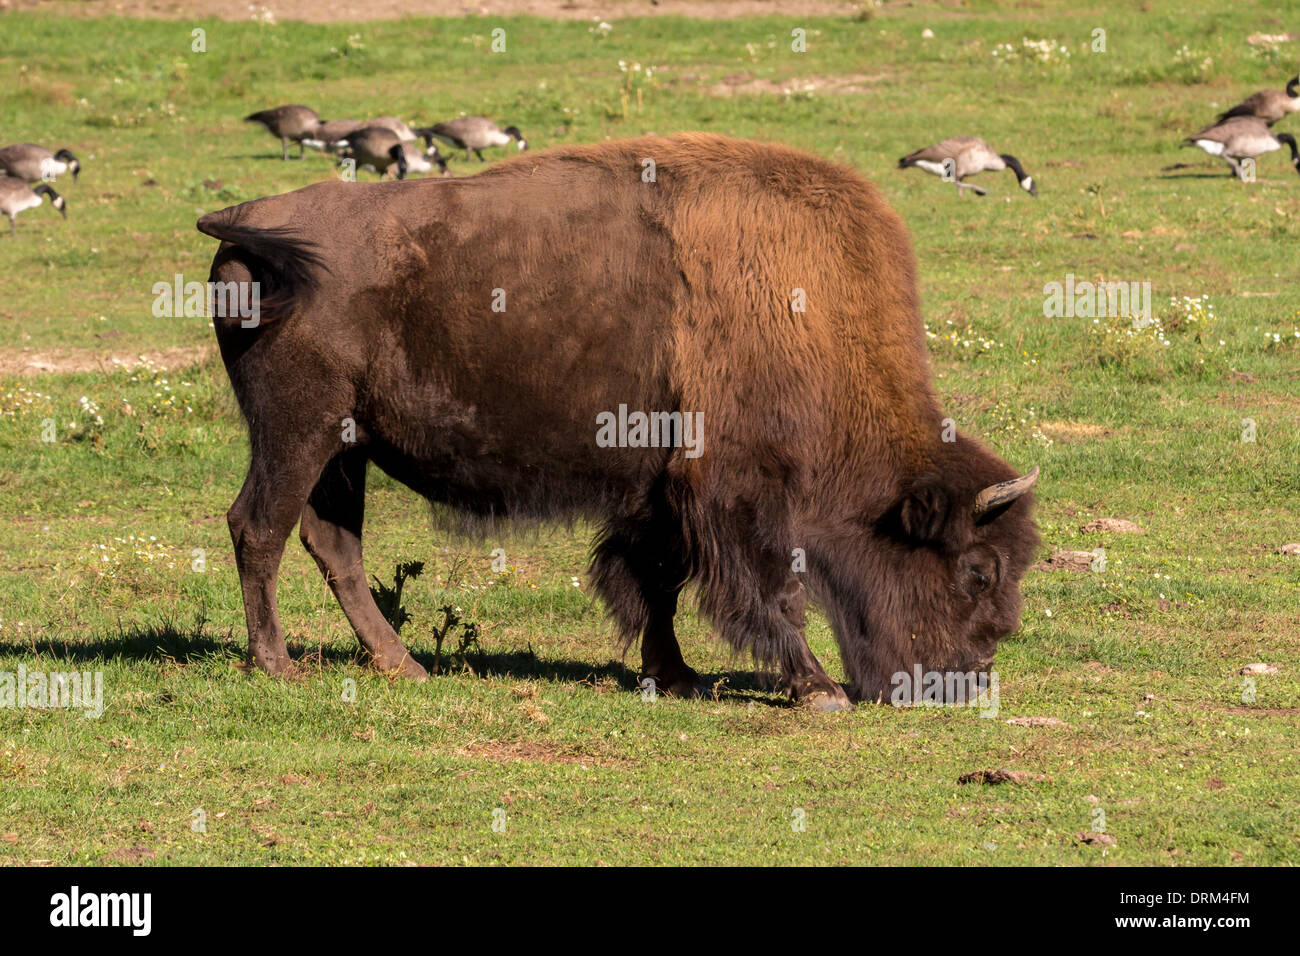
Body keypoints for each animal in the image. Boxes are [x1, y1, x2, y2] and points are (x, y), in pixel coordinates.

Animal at [197, 133, 1039, 712]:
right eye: (978, 569)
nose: (969, 679)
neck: (806, 312)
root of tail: (251, 224)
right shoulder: (735, 492)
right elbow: (771, 590)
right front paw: (817, 688)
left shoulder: (659, 489)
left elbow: (654, 579)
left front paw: (673, 674)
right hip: (298, 430)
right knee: (259, 528)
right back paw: (276, 664)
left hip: (341, 446)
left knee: (331, 543)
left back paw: (402, 664)